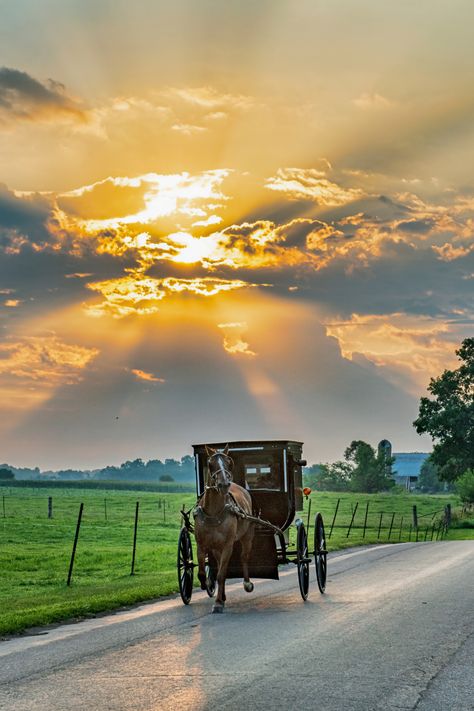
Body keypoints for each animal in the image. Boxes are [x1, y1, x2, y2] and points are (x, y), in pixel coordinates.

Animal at [193, 444, 256, 612]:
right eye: (210, 464)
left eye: (228, 462)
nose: (224, 484)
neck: (213, 512)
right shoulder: (201, 545)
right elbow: (202, 573)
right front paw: (207, 585)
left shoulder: (228, 545)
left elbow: (221, 575)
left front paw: (218, 603)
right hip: (216, 547)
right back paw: (222, 594)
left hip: (246, 536)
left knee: (244, 557)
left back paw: (247, 583)